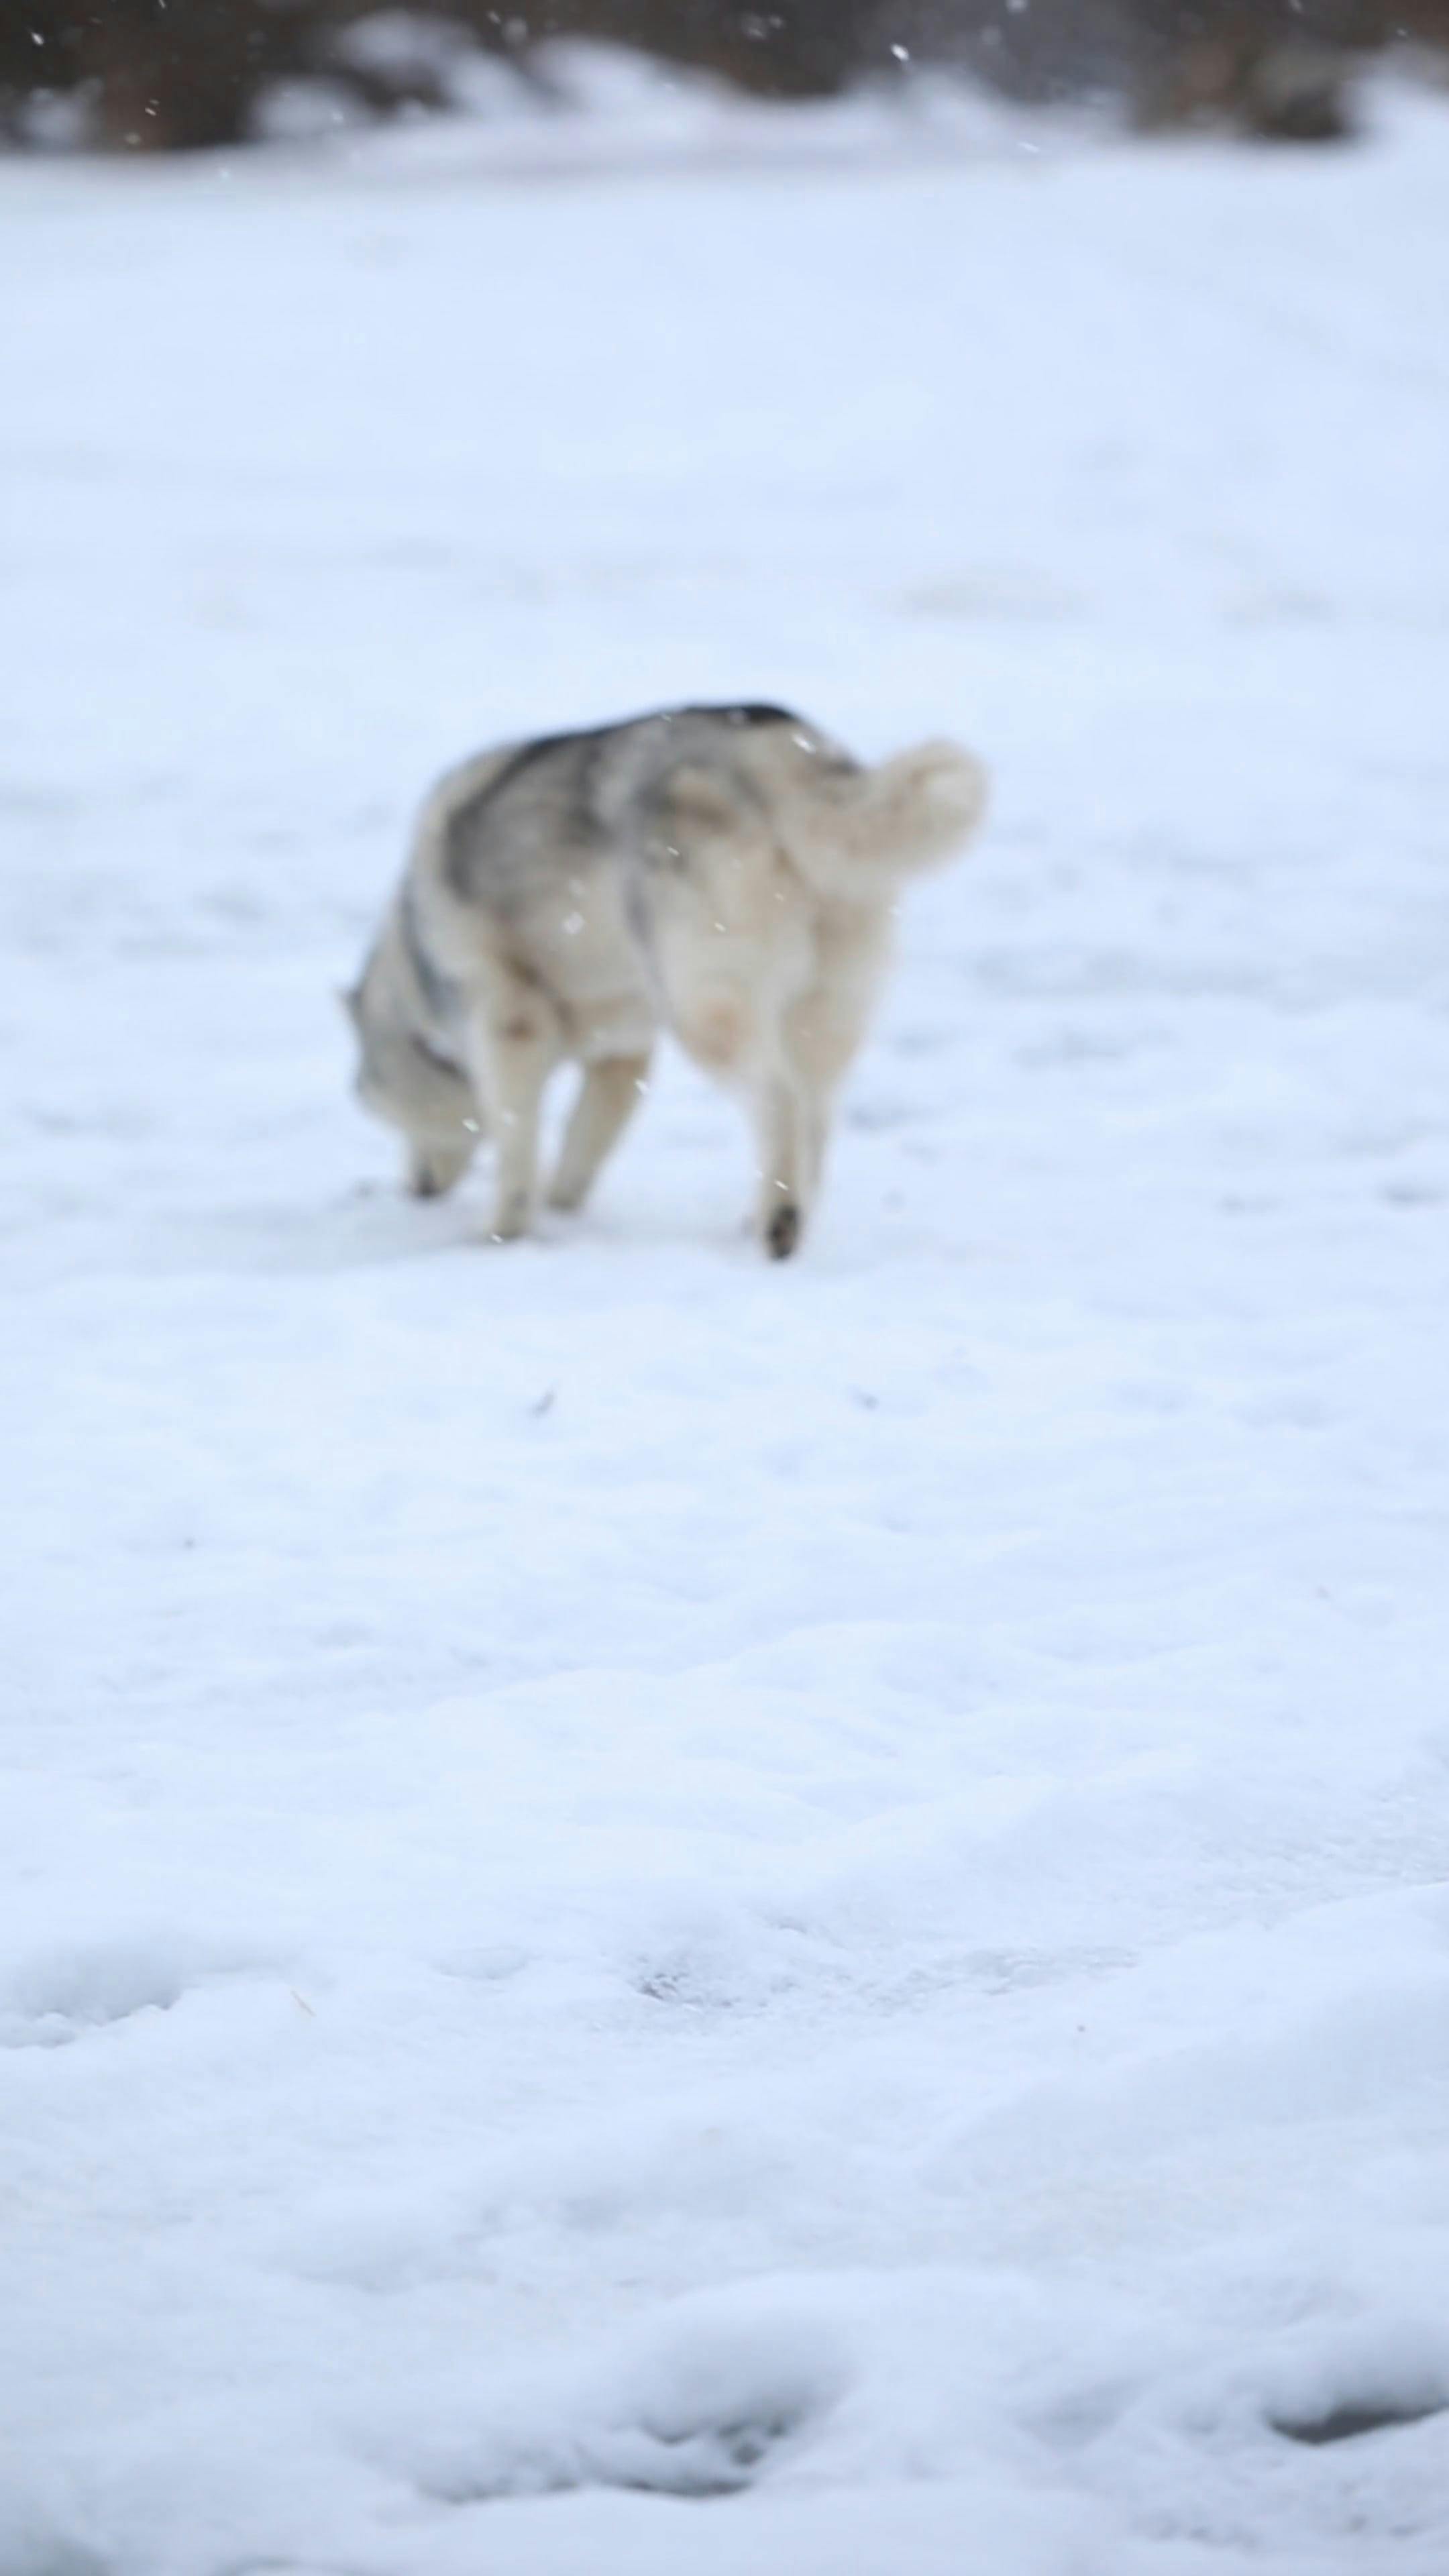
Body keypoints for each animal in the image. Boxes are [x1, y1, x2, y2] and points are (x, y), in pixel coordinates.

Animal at [346, 702, 986, 1257]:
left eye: (385, 1109)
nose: (414, 1190)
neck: (415, 956)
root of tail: (781, 749)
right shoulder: (623, 1052)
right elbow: (582, 1147)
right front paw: (560, 1207)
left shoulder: (511, 1028)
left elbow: (517, 1149)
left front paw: (503, 1234)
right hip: (822, 1009)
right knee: (815, 1116)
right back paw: (779, 1216)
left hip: (702, 1011)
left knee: (778, 1098)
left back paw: (777, 1223)